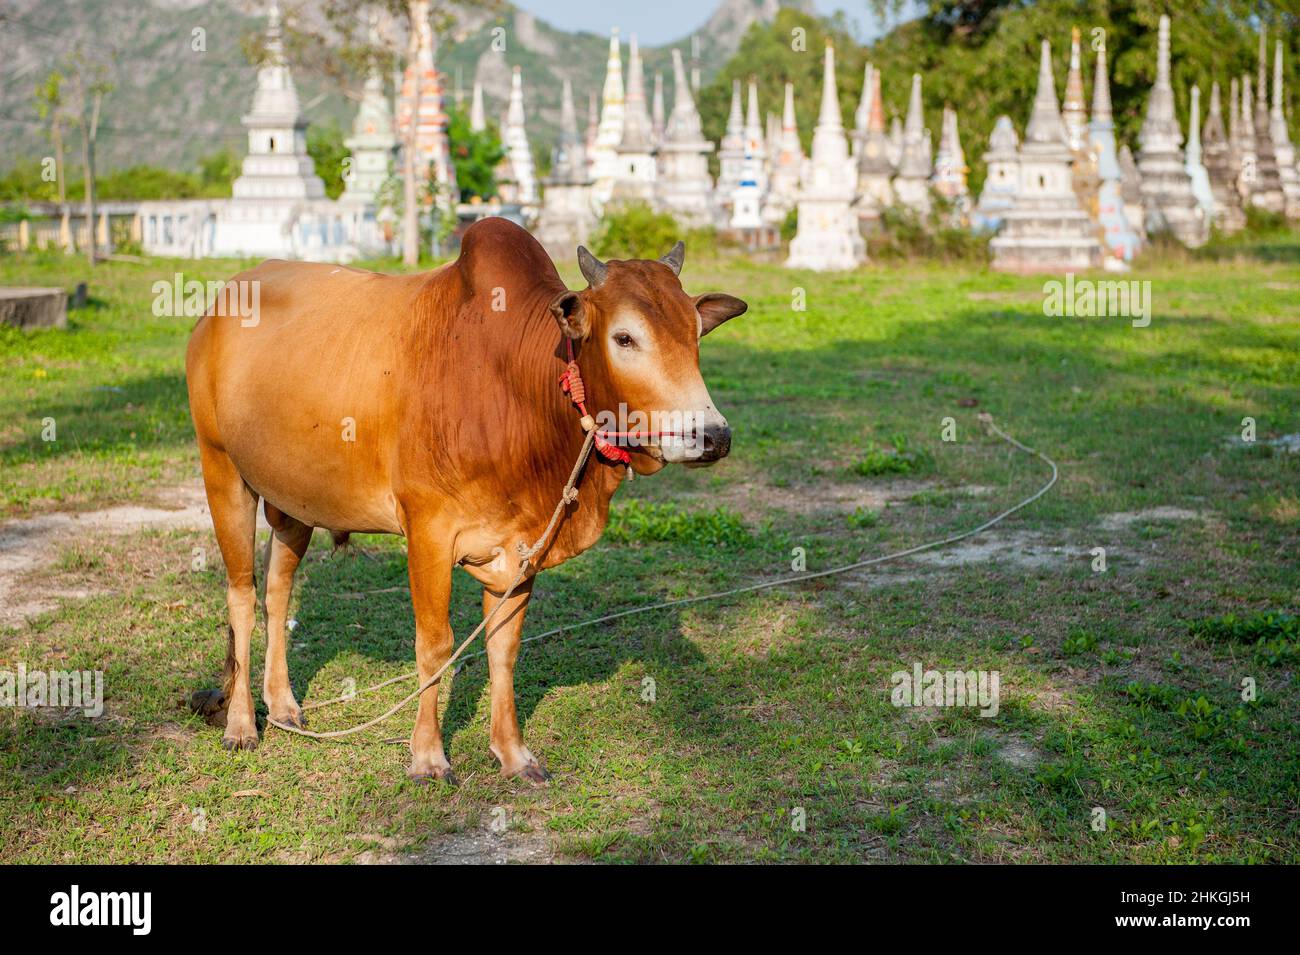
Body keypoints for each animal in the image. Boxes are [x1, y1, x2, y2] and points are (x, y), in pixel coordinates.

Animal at [185, 217, 747, 783]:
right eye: (625, 337)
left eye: (695, 334)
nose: (712, 435)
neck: (517, 386)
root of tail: (220, 304)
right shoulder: (428, 532)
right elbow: (435, 645)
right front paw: (428, 756)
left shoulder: (522, 546)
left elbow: (504, 647)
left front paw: (513, 753)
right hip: (222, 471)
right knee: (242, 596)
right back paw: (242, 725)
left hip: (293, 501)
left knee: (278, 591)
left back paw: (282, 705)